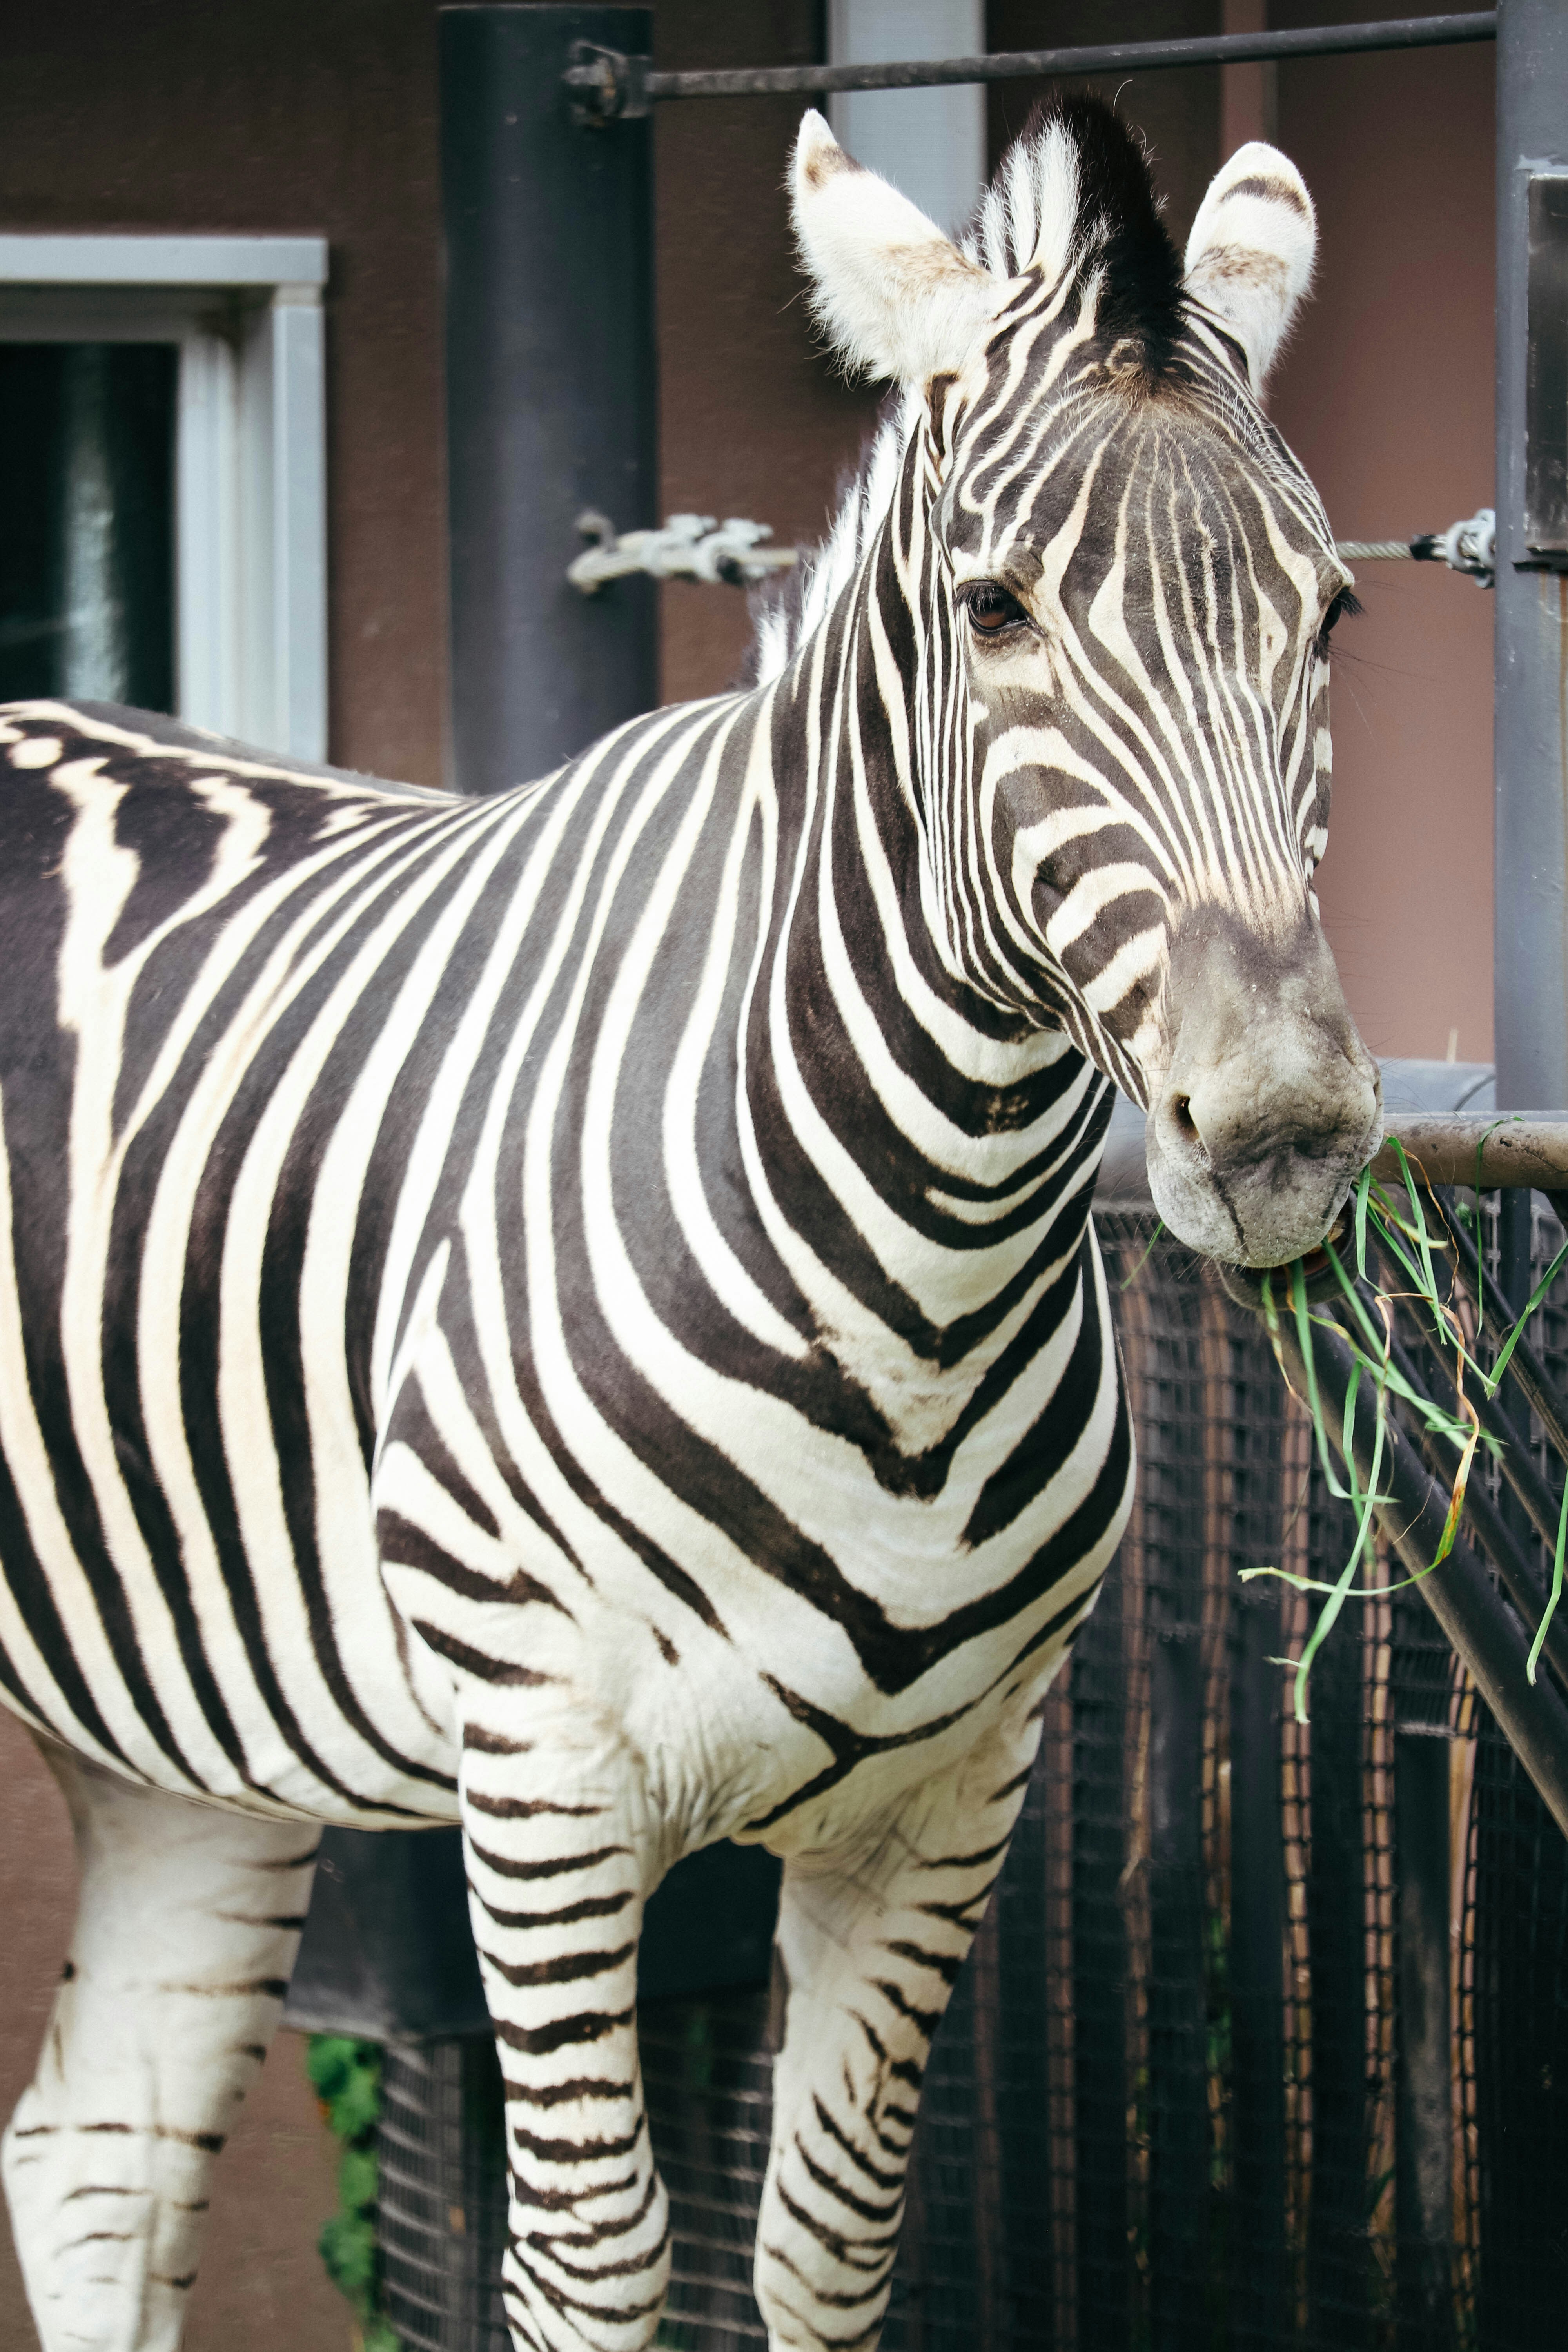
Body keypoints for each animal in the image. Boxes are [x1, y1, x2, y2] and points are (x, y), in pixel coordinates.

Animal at [0, 95, 1377, 2352]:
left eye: (1329, 613)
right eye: (994, 614)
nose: (1275, 1133)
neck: (922, 1280)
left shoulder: (952, 1796)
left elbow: (824, 2239)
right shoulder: (543, 1768)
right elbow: (591, 2257)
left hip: (171, 1725)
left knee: (95, 2155)